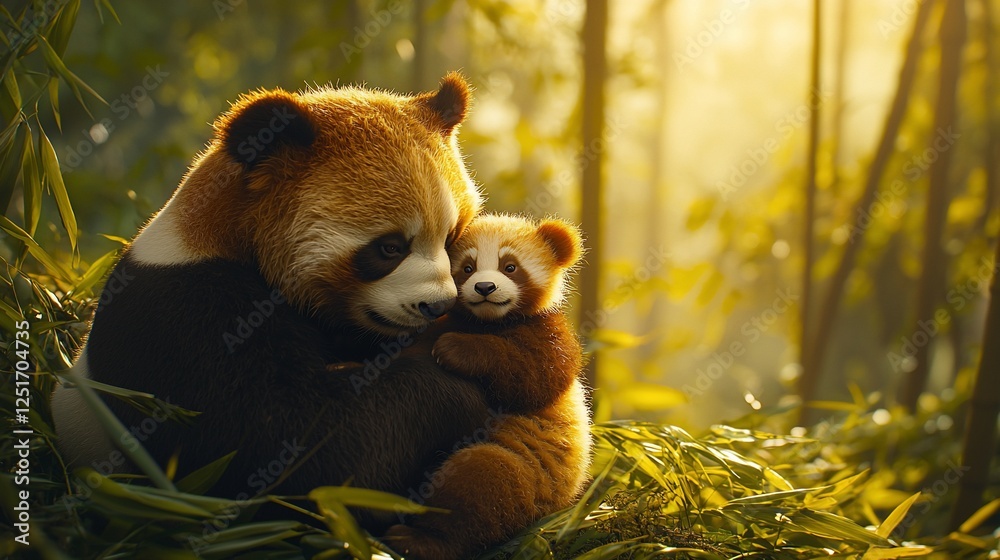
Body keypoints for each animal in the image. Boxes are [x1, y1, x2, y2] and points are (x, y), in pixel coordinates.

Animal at [50, 74, 495, 526]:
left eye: (452, 236)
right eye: (389, 248)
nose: (436, 306)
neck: (226, 234)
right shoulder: (182, 321)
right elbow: (295, 452)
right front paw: (463, 399)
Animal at [384, 214, 593, 560]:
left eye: (510, 266)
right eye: (467, 268)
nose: (484, 287)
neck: (488, 321)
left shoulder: (548, 331)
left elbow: (533, 375)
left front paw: (454, 349)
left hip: (531, 472)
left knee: (480, 483)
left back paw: (422, 540)